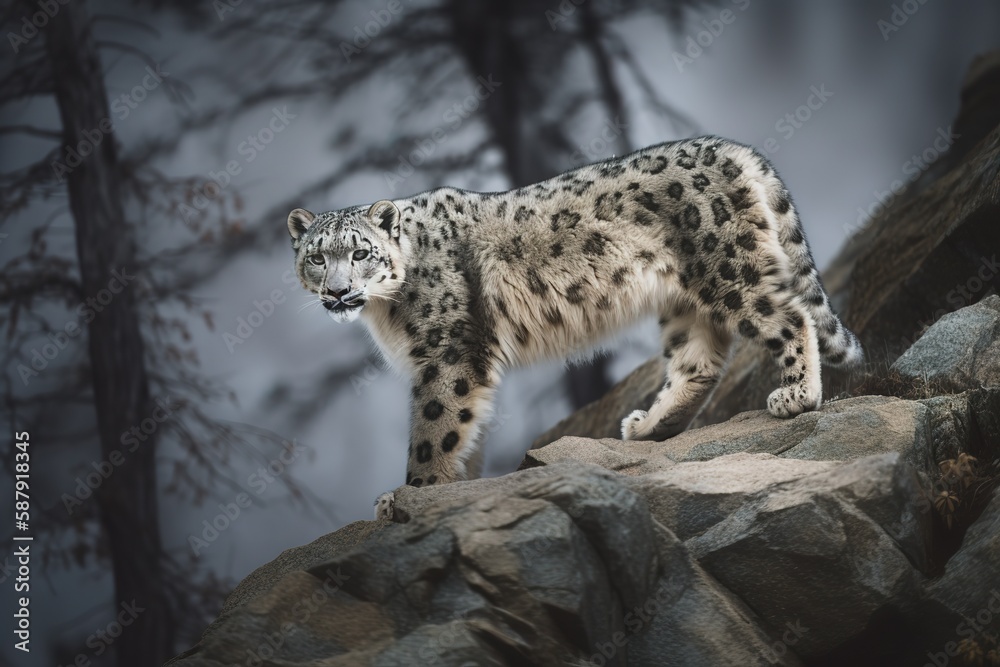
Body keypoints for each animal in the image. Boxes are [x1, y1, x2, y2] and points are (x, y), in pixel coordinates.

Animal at [286, 136, 863, 520]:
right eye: (317, 257)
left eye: (361, 253)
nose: (337, 291)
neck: (385, 313)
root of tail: (733, 148)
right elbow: (465, 432)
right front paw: (449, 492)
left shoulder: (448, 354)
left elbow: (434, 428)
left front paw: (409, 495)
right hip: (684, 302)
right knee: (698, 362)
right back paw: (645, 427)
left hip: (727, 270)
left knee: (790, 315)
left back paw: (796, 395)